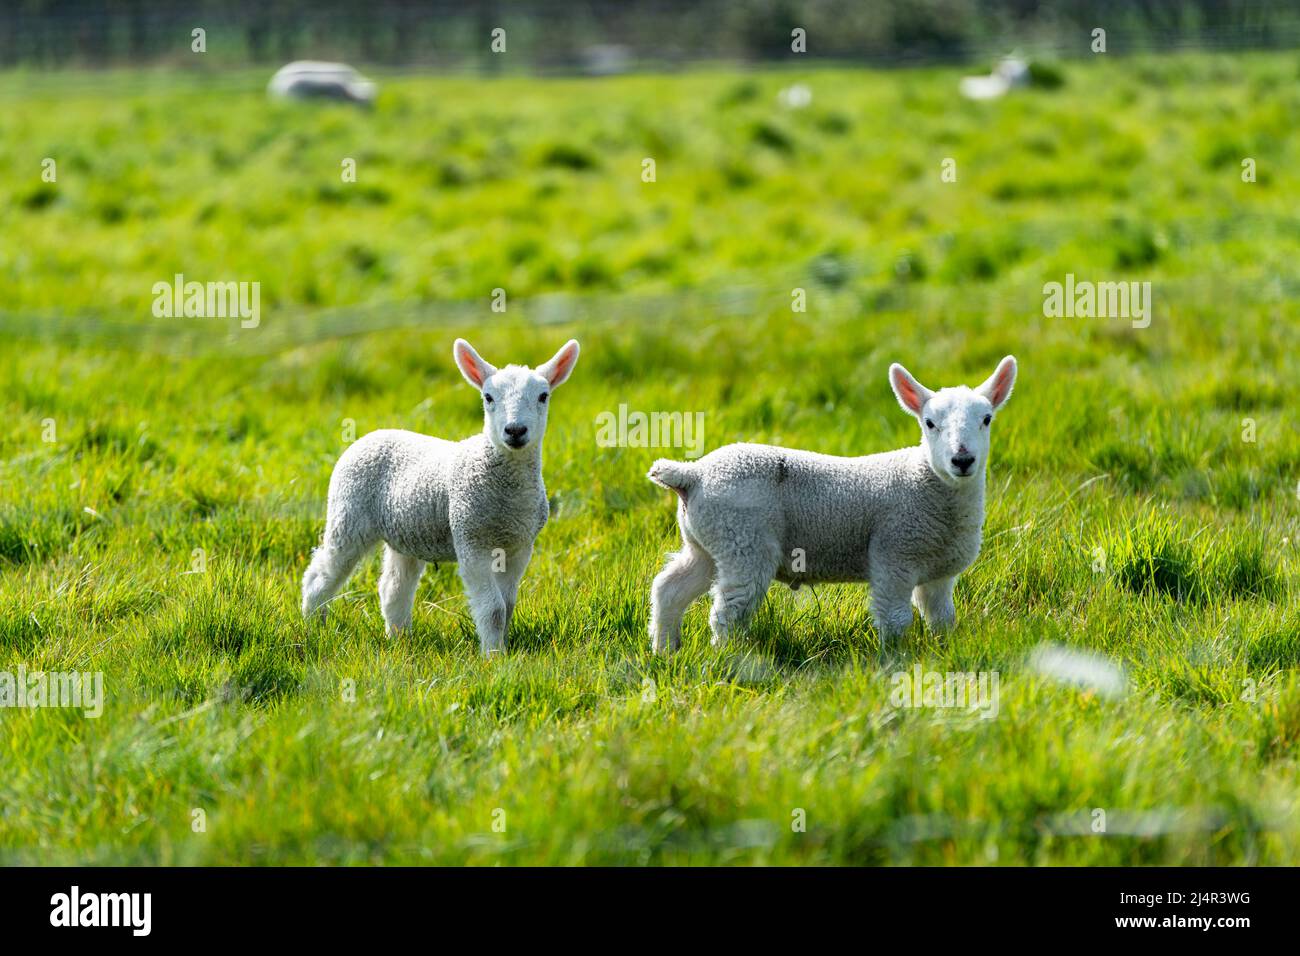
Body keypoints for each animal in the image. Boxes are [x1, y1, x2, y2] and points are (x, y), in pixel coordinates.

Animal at [301, 338, 581, 654]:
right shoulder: (471, 539)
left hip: (406, 531)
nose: (515, 430)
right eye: (488, 397)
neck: (507, 493)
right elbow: (493, 609)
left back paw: (399, 639)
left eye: (543, 396)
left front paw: (503, 648)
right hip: (348, 514)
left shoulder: (519, 546)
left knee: (393, 587)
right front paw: (494, 656)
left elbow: (508, 606)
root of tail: (369, 436)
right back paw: (314, 626)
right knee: (322, 572)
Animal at [647, 356, 1017, 652]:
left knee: (669, 590)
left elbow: (941, 618)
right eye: (929, 423)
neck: (928, 482)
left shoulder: (938, 573)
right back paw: (728, 657)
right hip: (743, 541)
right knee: (727, 612)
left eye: (986, 419)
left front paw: (943, 649)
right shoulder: (893, 556)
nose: (962, 460)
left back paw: (665, 650)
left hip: (707, 542)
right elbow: (895, 618)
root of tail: (693, 474)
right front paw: (894, 657)